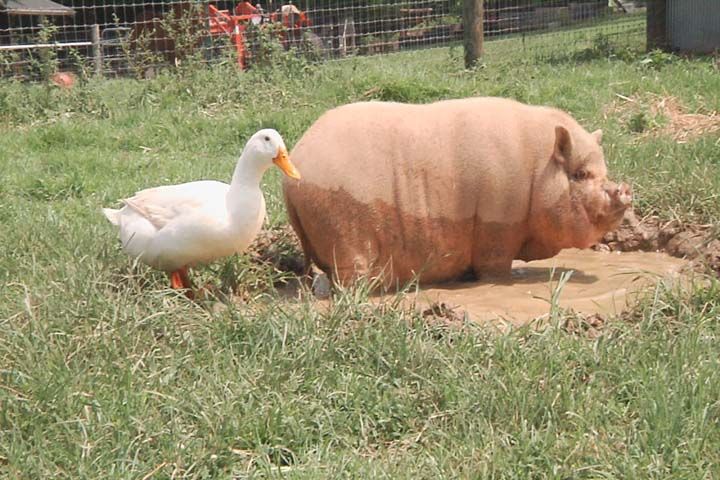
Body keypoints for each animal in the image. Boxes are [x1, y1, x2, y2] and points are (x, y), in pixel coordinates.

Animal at [282, 97, 632, 288]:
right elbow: (494, 266)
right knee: (350, 273)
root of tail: (293, 173)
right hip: (344, 232)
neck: (535, 171)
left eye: (603, 172)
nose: (624, 190)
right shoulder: (497, 222)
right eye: (580, 174)